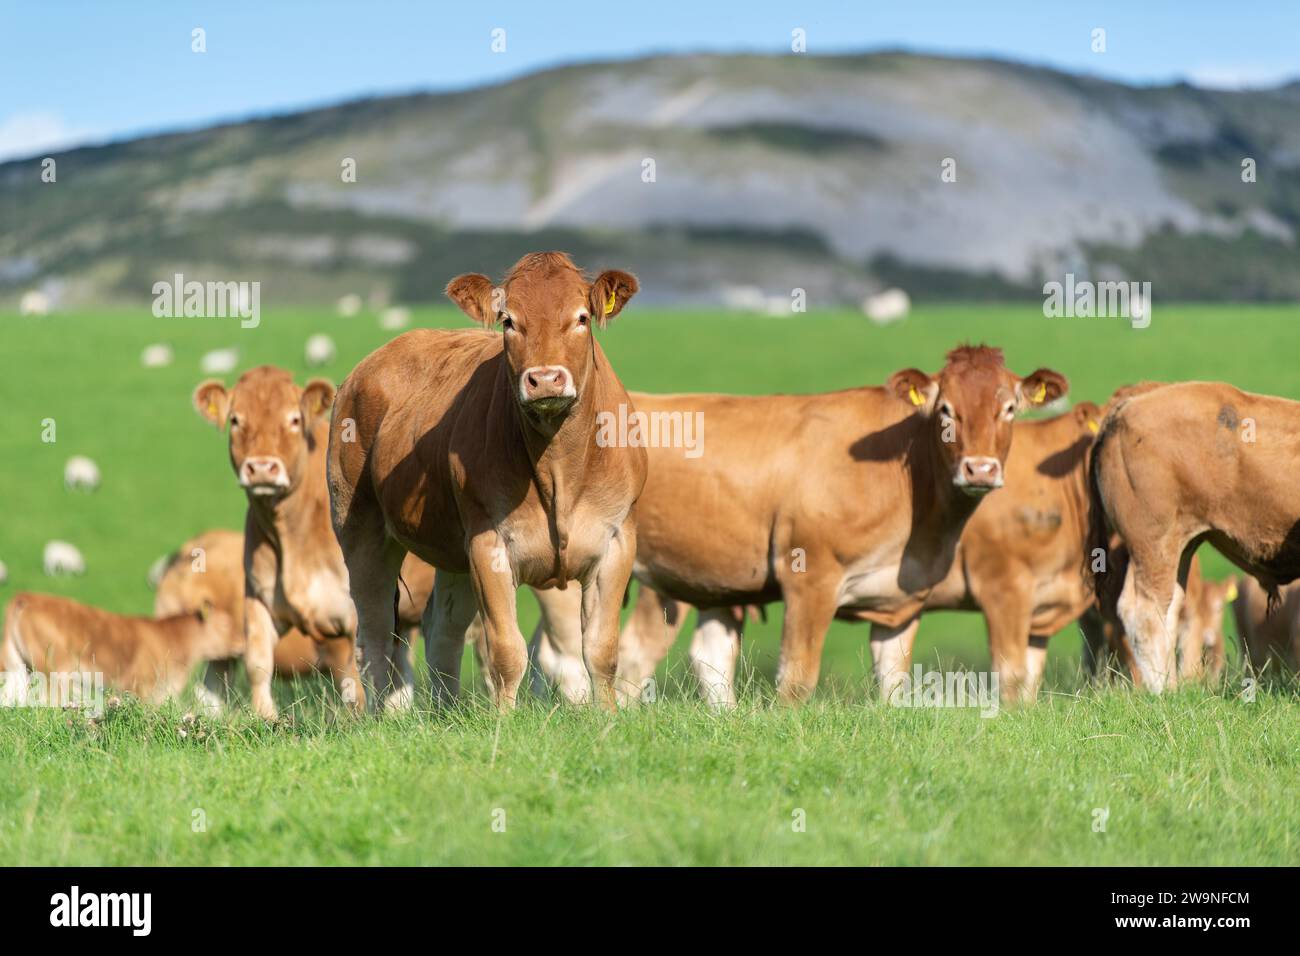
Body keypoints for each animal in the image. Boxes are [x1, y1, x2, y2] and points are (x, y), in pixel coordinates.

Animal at [1, 592, 242, 707]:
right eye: (226, 624)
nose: (242, 644)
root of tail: (27, 596)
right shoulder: (141, 687)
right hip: (53, 671)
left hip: (18, 668)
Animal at [193, 366, 438, 717]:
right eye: (236, 419)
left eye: (294, 419)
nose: (262, 468)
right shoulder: (259, 596)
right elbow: (257, 663)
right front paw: (266, 718)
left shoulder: (347, 618)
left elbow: (354, 681)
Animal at [328, 252, 647, 711]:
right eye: (508, 320)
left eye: (582, 317)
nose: (545, 379)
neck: (559, 468)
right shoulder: (488, 543)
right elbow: (507, 652)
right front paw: (503, 721)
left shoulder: (617, 541)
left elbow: (601, 651)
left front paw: (607, 718)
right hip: (359, 528)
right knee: (373, 633)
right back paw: (377, 716)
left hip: (451, 549)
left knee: (442, 628)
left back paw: (445, 711)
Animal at [533, 344, 1067, 704]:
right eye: (945, 410)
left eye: (1009, 408)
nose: (980, 470)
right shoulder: (810, 578)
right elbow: (797, 678)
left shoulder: (899, 600)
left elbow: (893, 682)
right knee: (570, 656)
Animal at [1088, 380, 1300, 691]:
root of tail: (1128, 405)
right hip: (1153, 545)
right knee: (1144, 612)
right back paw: (1161, 692)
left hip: (1182, 544)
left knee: (1169, 608)